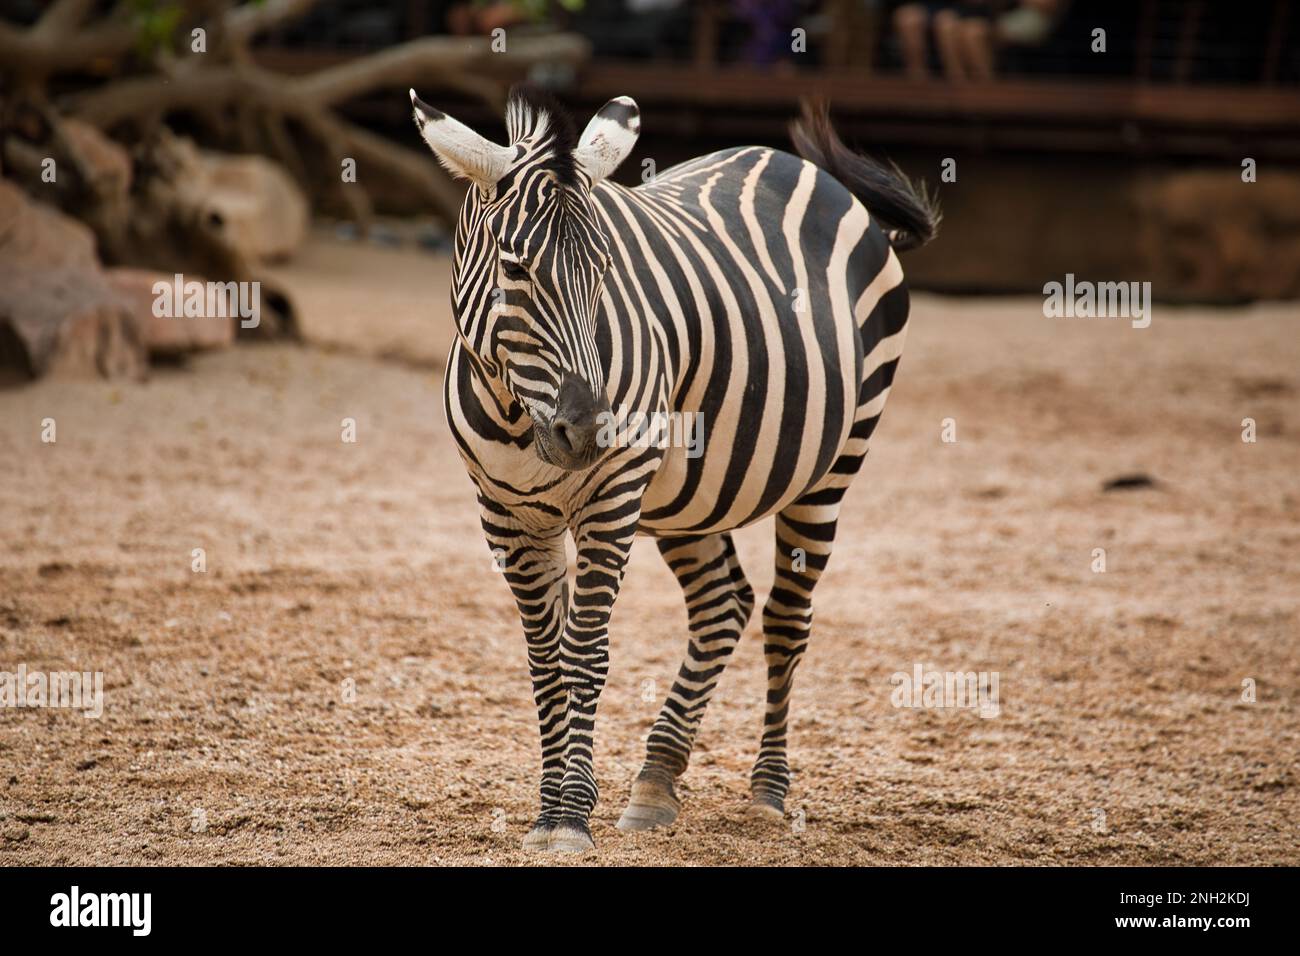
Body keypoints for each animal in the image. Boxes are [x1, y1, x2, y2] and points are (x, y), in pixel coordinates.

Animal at [411, 85, 938, 852]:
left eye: (605, 271)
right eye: (515, 269)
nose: (586, 430)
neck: (518, 414)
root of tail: (804, 170)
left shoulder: (612, 494)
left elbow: (585, 653)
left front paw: (570, 817)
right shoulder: (504, 512)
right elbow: (545, 660)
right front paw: (548, 810)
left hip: (831, 466)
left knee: (786, 617)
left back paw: (767, 792)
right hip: (693, 491)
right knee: (724, 604)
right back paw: (656, 780)